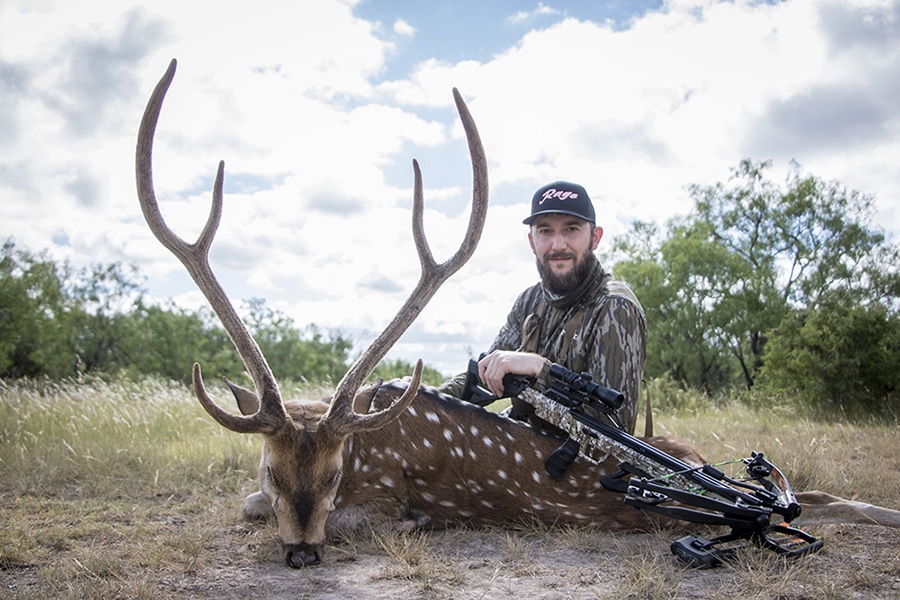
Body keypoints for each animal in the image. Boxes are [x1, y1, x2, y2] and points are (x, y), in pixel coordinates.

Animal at [137, 60, 900, 569]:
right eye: (272, 471)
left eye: (332, 475)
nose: (300, 554)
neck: (367, 455)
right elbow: (244, 505)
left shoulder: (377, 496)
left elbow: (352, 521)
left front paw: (408, 528)